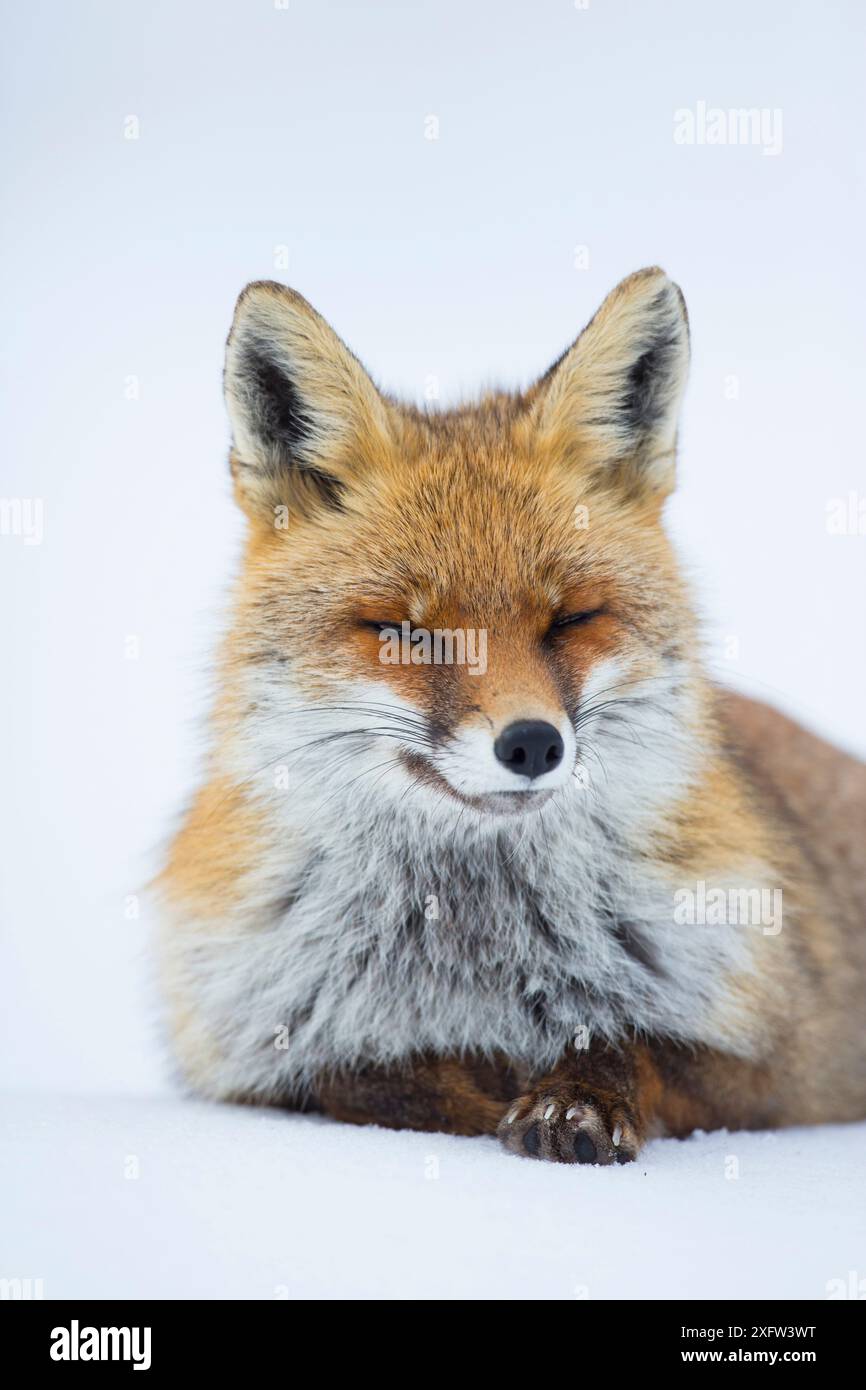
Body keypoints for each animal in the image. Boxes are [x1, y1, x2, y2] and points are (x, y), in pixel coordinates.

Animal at [157, 268, 866, 1165]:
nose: (531, 743)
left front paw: (578, 1099)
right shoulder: (261, 1060)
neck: (476, 944)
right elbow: (380, 1078)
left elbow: (635, 1043)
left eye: (571, 619)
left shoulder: (782, 1065)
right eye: (407, 632)